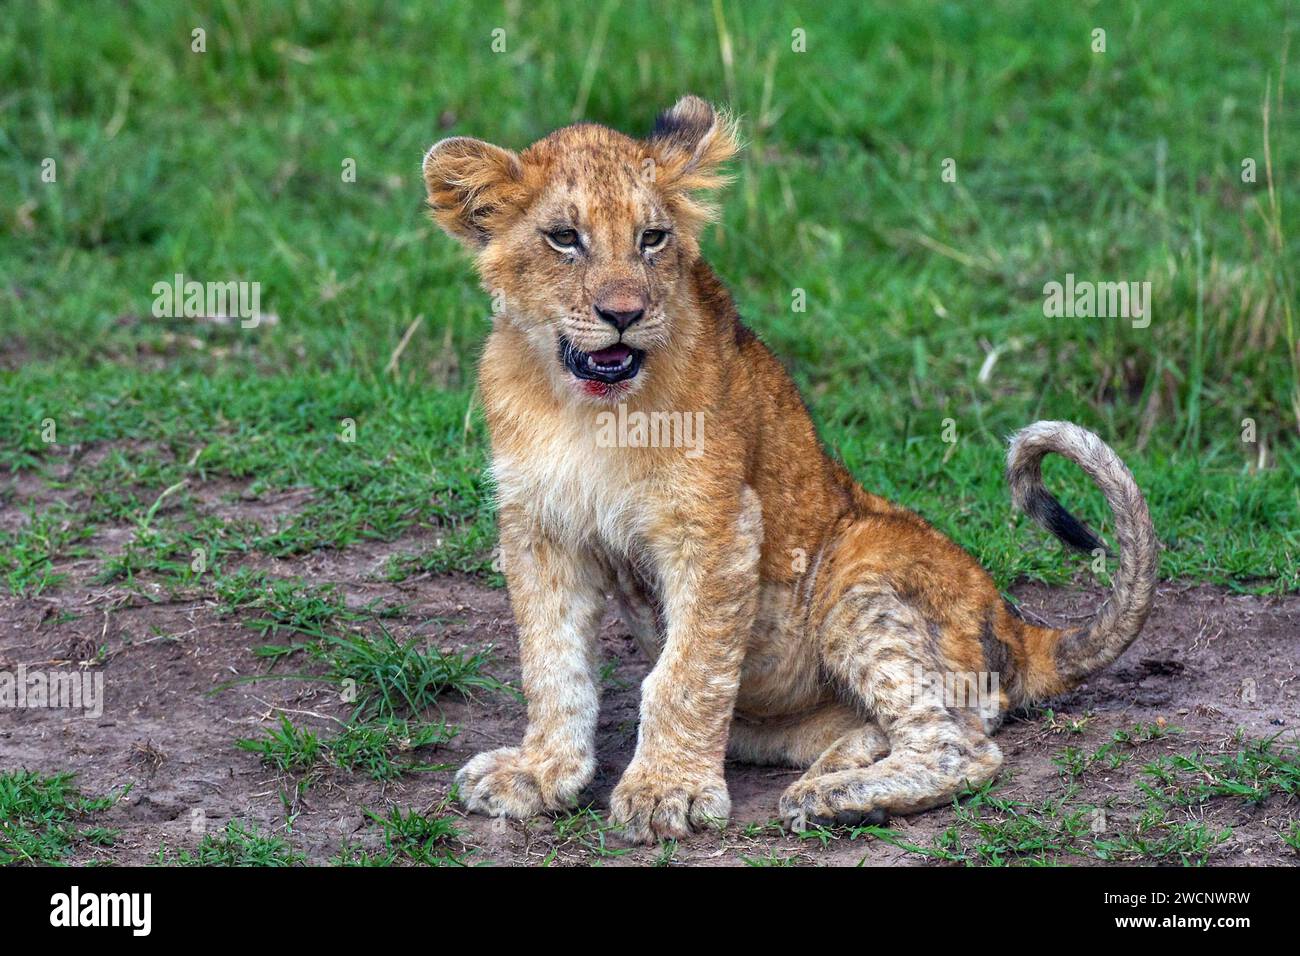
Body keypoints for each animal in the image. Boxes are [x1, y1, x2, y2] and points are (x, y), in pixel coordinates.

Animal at [421, 95, 1157, 843]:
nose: (623, 314)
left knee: (961, 745)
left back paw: (834, 799)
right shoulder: (539, 530)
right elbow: (552, 665)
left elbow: (686, 673)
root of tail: (1019, 627)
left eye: (652, 239)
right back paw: (838, 769)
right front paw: (540, 773)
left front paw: (666, 793)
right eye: (565, 238)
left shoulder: (718, 525)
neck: (583, 406)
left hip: (858, 574)